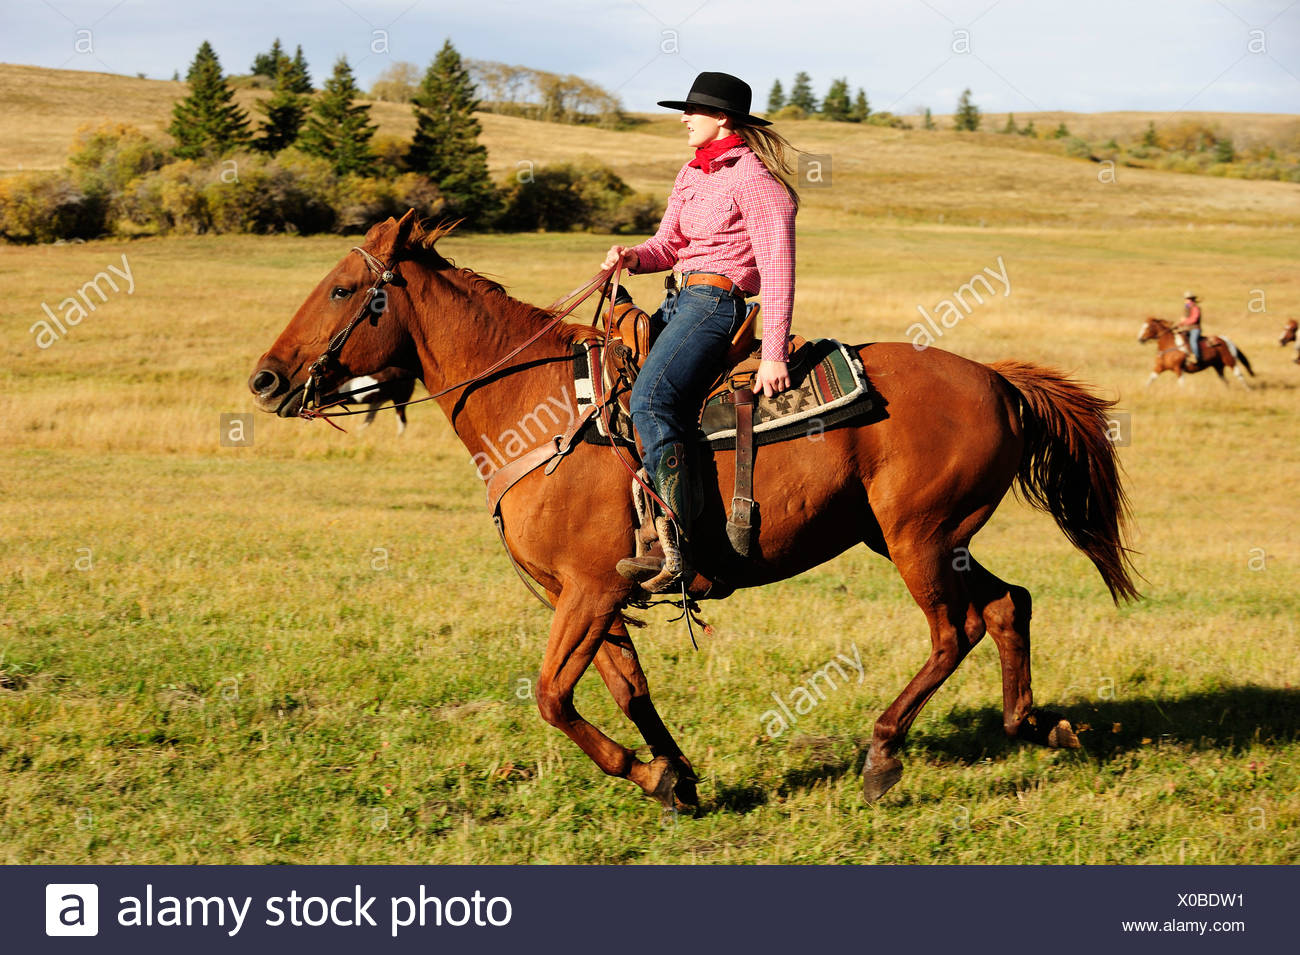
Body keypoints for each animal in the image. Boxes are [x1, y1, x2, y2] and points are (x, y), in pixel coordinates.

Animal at [248, 211, 1139, 809]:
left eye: (341, 289)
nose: (264, 378)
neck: (536, 404)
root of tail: (995, 379)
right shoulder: (589, 594)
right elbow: (626, 688)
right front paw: (676, 777)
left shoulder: (589, 589)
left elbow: (551, 695)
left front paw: (651, 774)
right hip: (916, 535)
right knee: (1008, 603)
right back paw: (1035, 724)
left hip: (917, 537)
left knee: (954, 629)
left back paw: (884, 753)